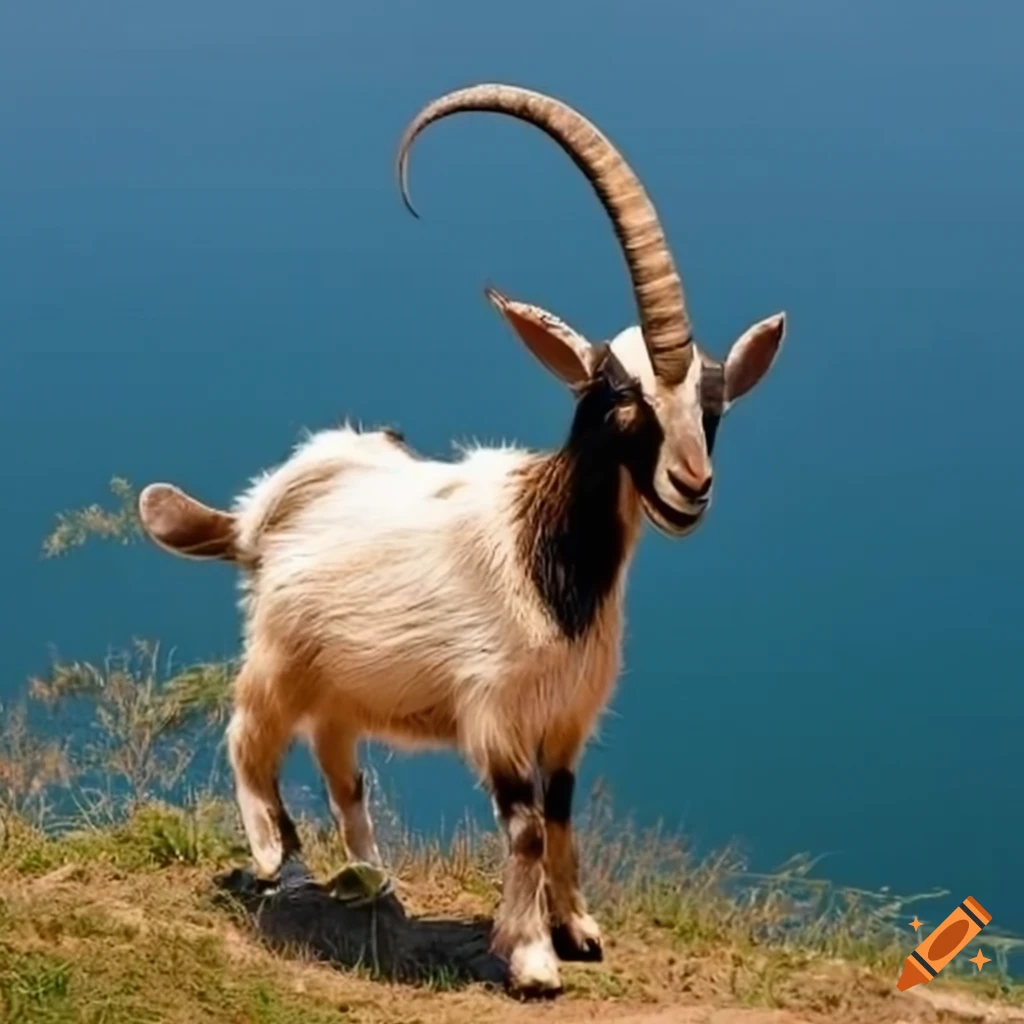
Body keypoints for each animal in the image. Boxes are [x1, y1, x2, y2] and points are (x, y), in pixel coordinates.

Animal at [136, 83, 787, 997]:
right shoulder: (496, 713)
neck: (544, 556)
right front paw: (532, 959)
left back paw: (374, 877)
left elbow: (560, 815)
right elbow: (522, 826)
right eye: (621, 397)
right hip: (279, 655)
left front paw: (578, 928)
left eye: (716, 401)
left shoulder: (567, 718)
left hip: (345, 682)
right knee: (248, 734)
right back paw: (276, 857)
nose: (690, 488)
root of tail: (259, 509)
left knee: (341, 764)